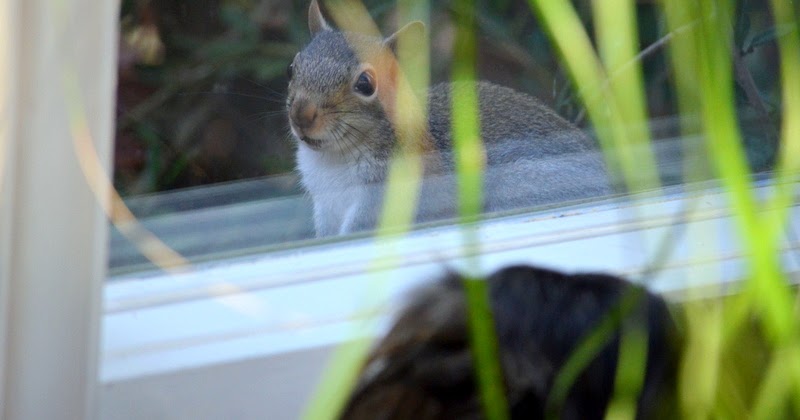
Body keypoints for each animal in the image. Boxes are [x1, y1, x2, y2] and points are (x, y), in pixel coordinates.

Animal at [287, 0, 611, 236]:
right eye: (293, 67)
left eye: (366, 84)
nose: (301, 114)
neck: (333, 160)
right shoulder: (325, 205)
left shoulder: (391, 193)